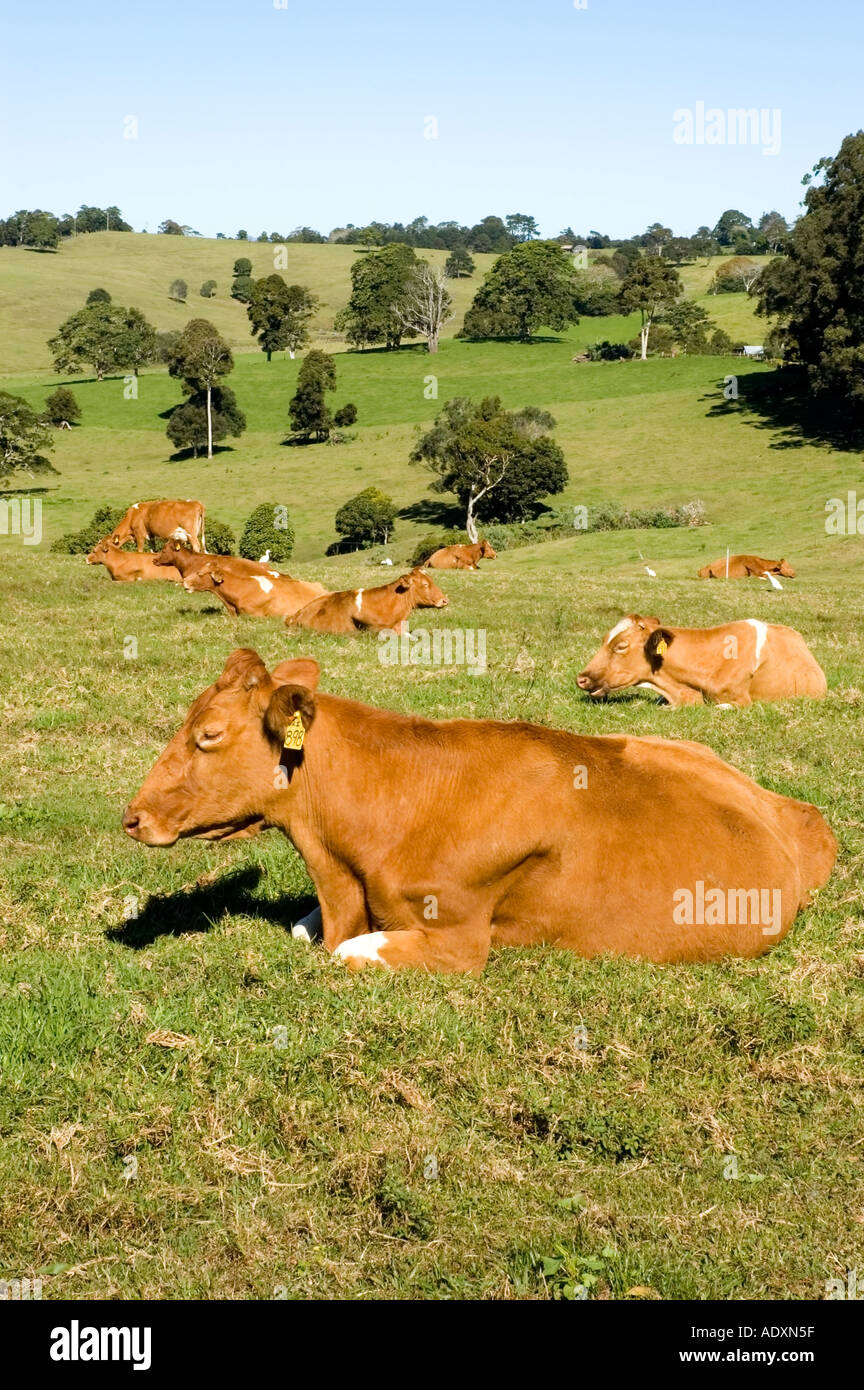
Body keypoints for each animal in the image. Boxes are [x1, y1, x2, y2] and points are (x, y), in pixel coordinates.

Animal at [122, 649, 836, 974]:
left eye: (208, 734)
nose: (132, 817)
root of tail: (785, 806)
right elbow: (309, 931)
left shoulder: (458, 941)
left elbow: (347, 950)